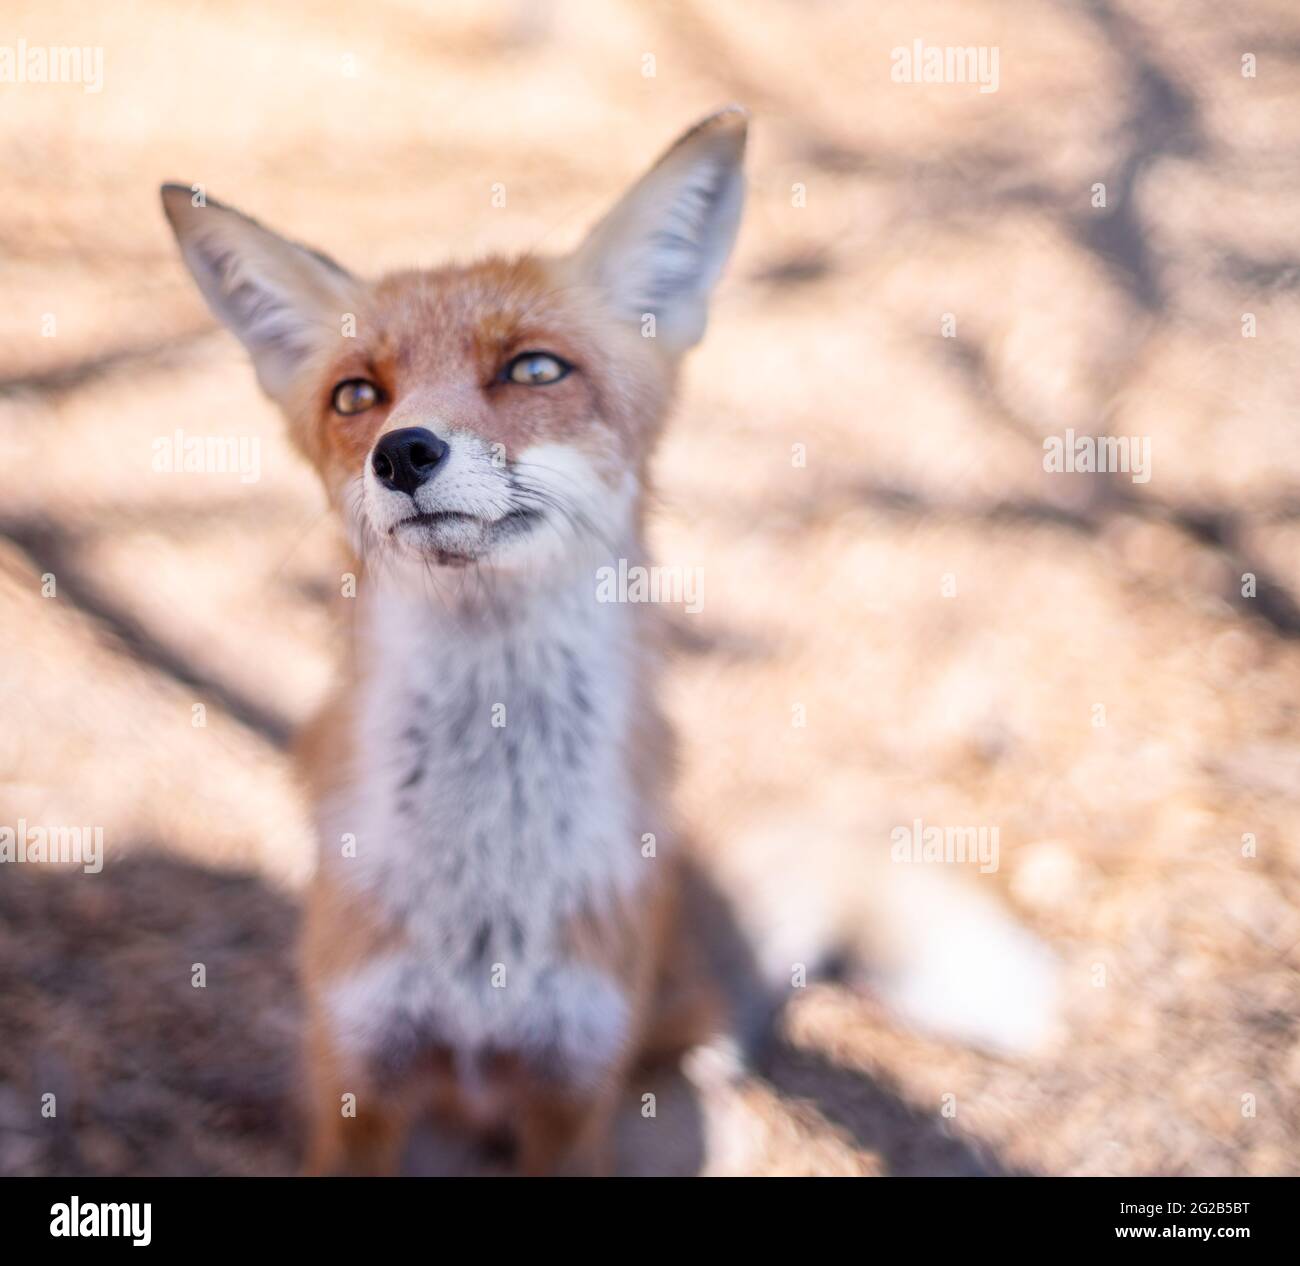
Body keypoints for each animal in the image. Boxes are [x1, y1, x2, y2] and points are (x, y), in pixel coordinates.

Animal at [162, 108, 750, 1175]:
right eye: (357, 395)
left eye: (534, 368)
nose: (405, 453)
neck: (486, 907)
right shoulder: (357, 1072)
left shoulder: (573, 1089)